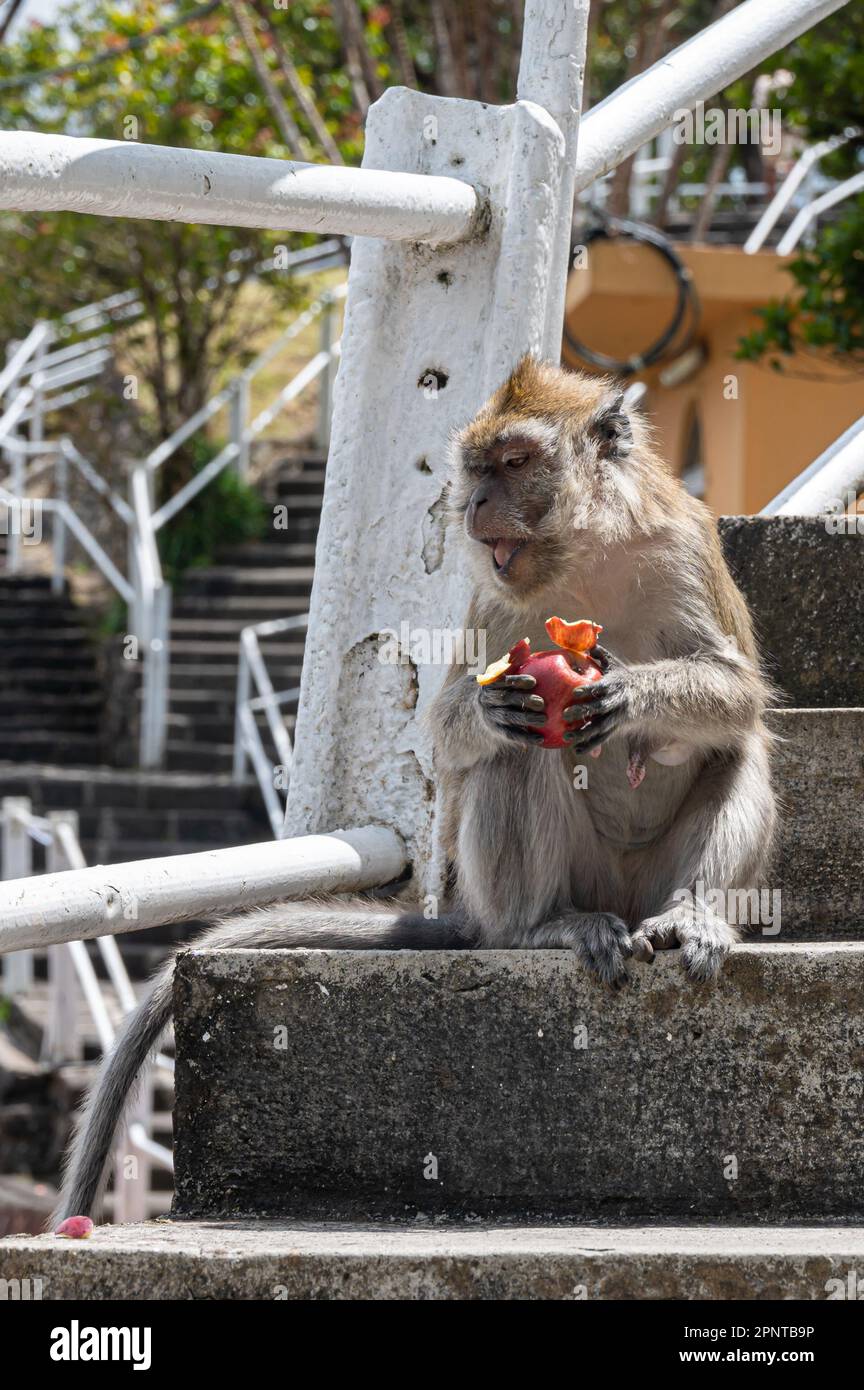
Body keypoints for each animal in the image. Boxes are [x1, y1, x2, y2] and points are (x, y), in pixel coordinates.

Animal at [52, 355, 775, 1225]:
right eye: (476, 468)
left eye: (514, 462)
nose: (472, 505)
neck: (585, 552)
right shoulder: (494, 597)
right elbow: (448, 735)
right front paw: (491, 710)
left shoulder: (684, 544)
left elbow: (739, 692)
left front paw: (631, 695)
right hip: (547, 883)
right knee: (519, 758)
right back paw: (541, 928)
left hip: (646, 877)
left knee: (737, 755)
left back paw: (690, 917)